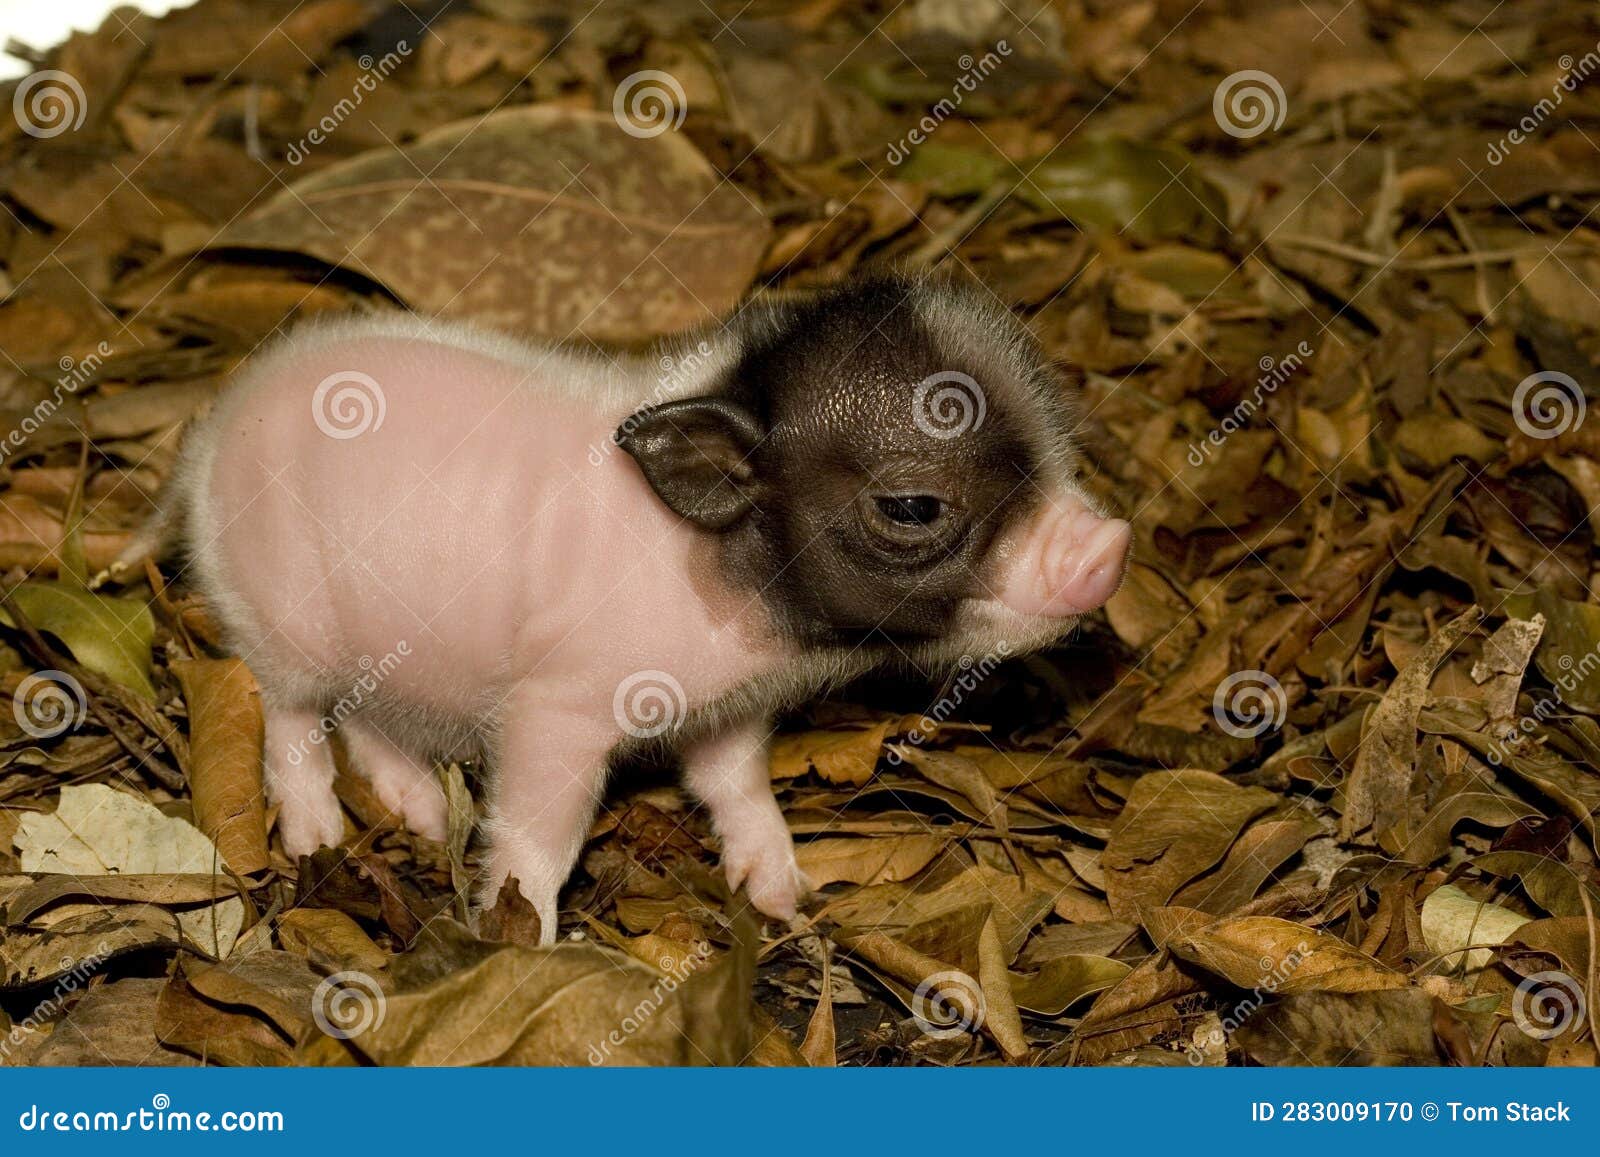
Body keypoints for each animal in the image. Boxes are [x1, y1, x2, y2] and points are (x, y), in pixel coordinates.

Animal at [124, 273, 1131, 944]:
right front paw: (525, 932)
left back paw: (421, 813)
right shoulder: (555, 705)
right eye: (914, 507)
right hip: (280, 616)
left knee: (365, 715)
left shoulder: (728, 709)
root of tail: (205, 442)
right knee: (291, 715)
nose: (1111, 544)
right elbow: (541, 830)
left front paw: (783, 891)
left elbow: (735, 781)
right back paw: (319, 833)